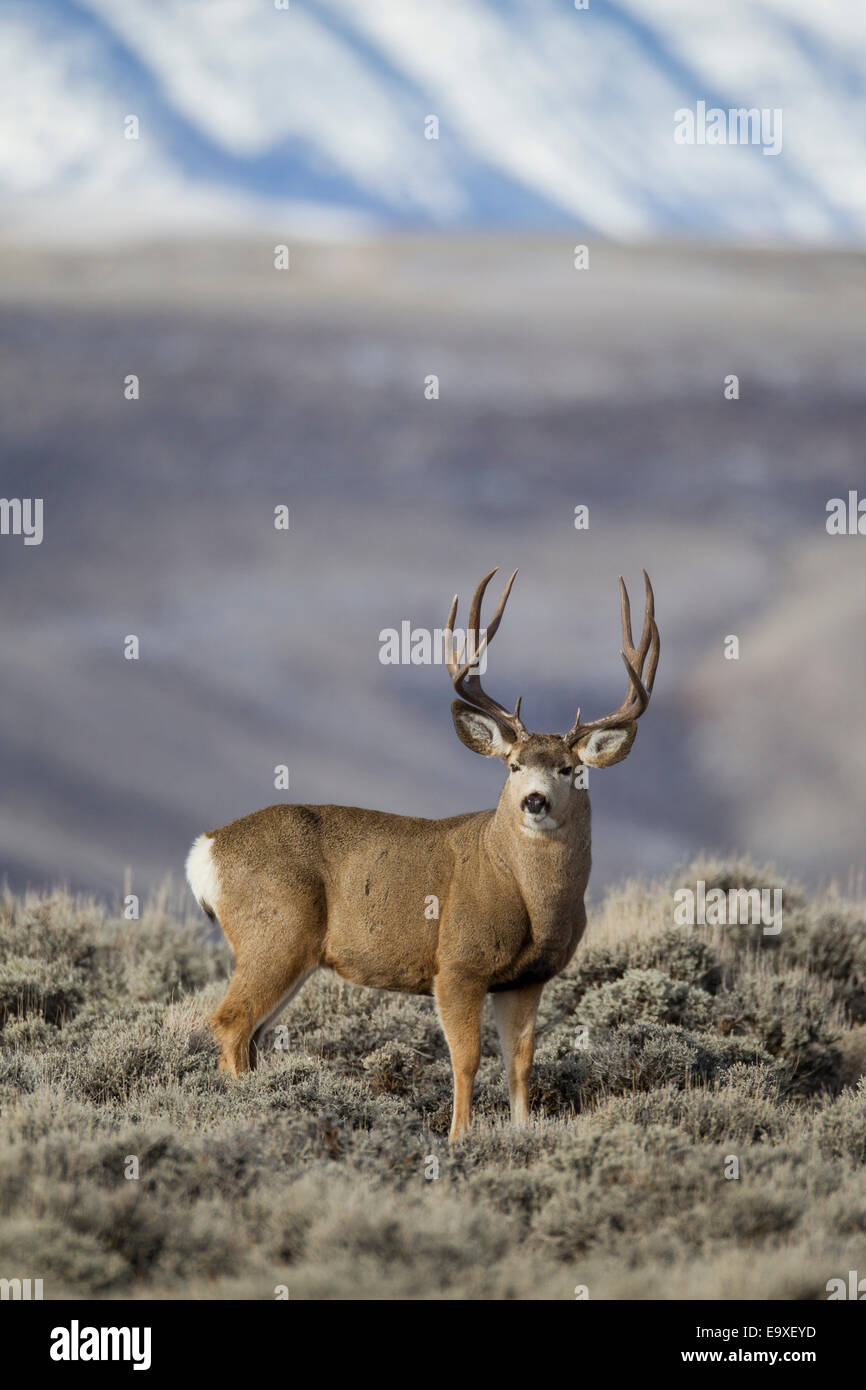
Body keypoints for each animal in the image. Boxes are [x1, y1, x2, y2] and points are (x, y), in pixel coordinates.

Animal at [186, 569, 659, 1141]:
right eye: (513, 765)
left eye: (570, 769)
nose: (535, 801)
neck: (529, 895)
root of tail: (207, 847)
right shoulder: (457, 964)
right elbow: (467, 1060)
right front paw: (458, 1138)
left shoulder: (528, 978)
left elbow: (520, 1062)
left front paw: (521, 1131)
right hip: (272, 933)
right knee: (230, 1024)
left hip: (293, 954)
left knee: (252, 1035)